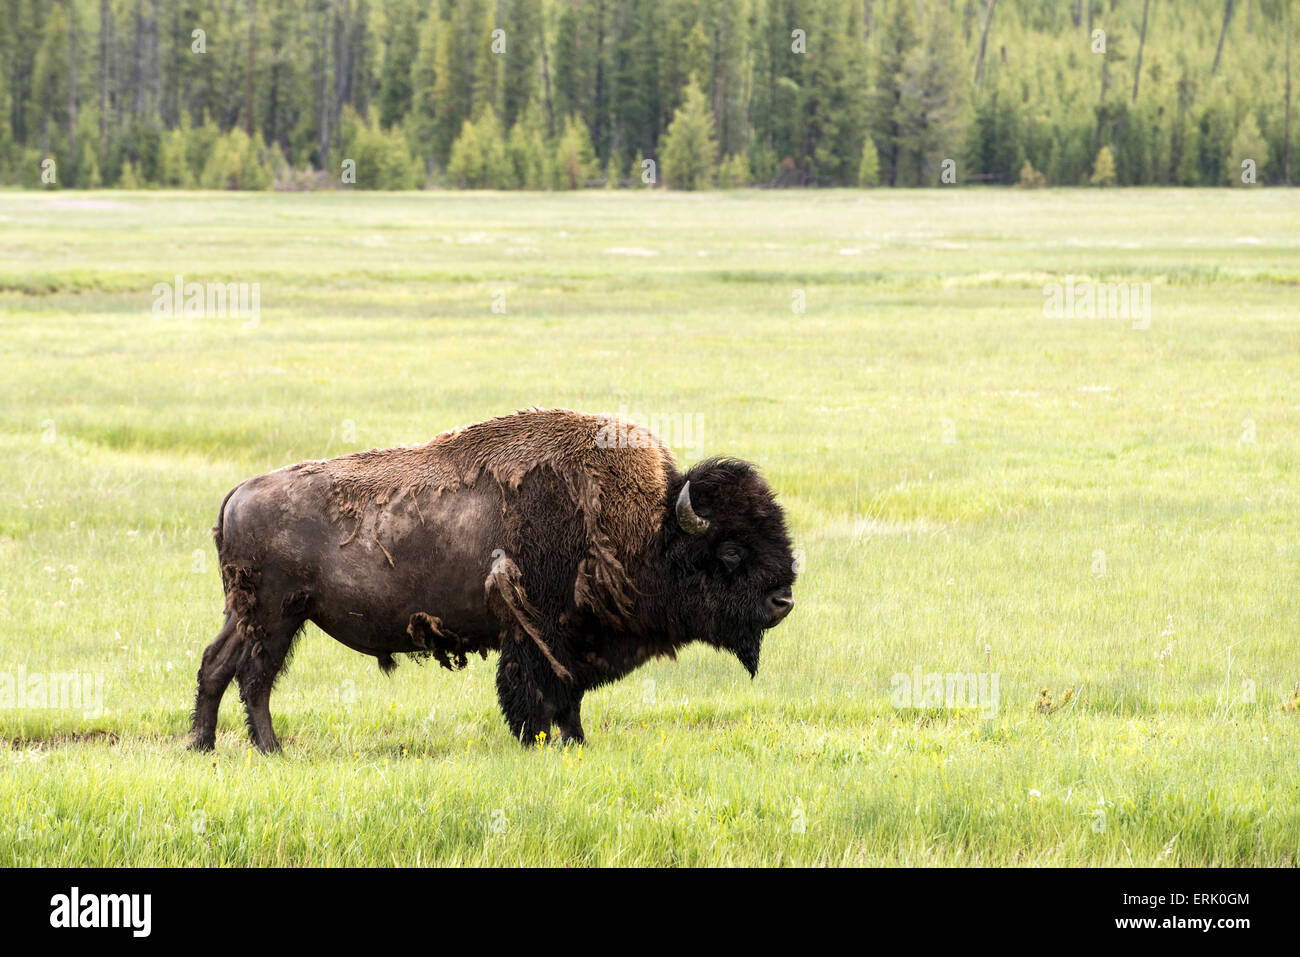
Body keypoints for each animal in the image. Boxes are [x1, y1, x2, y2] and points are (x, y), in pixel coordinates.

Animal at [190, 408, 796, 751]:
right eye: (732, 550)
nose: (783, 600)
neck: (650, 526)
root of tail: (239, 492)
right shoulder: (538, 633)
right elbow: (541, 691)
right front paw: (542, 742)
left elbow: (570, 697)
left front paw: (575, 743)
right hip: (277, 616)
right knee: (255, 678)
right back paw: (271, 750)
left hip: (248, 614)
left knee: (216, 665)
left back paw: (202, 746)